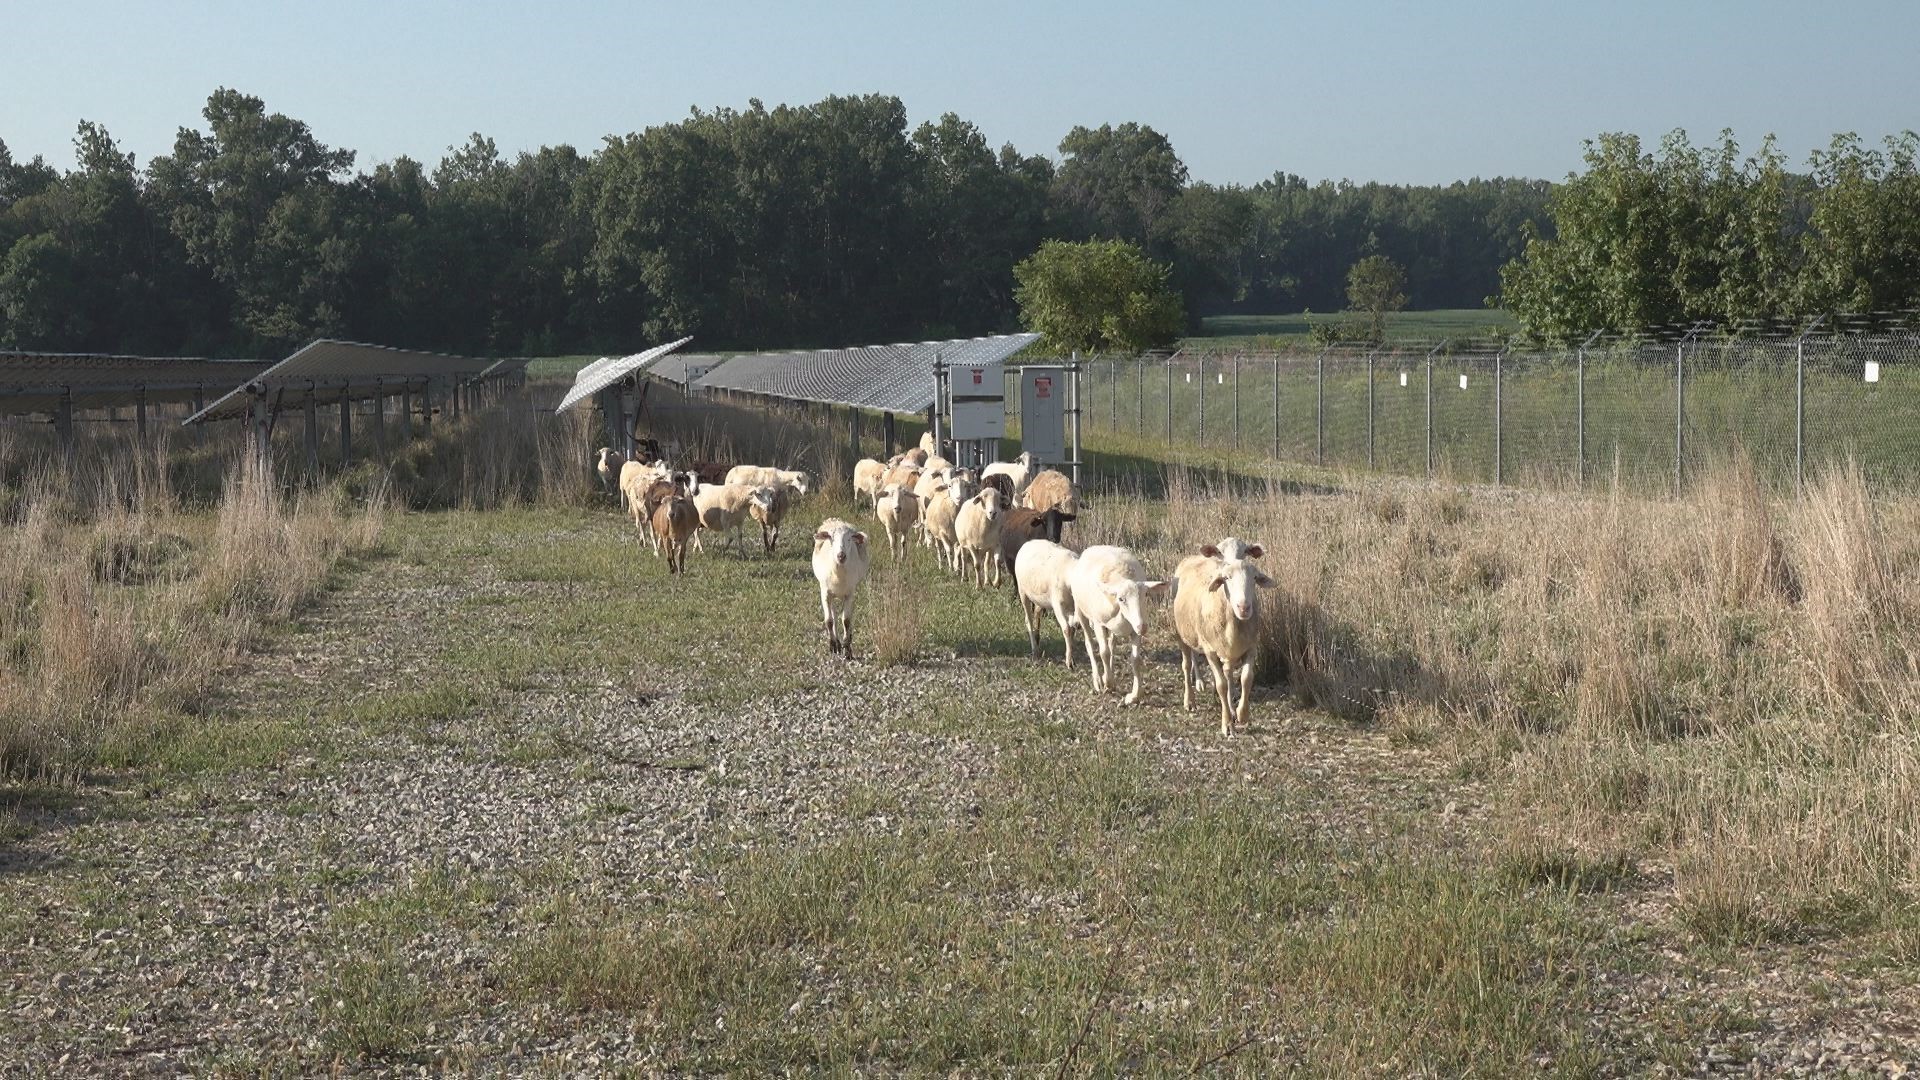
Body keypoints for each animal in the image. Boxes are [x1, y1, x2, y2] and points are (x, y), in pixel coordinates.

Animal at [812, 518, 871, 659]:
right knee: (833, 615)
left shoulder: (849, 593)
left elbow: (847, 620)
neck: (838, 574)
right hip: (831, 594)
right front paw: (833, 646)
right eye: (831, 538)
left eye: (849, 539)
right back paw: (837, 642)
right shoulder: (825, 593)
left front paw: (847, 649)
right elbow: (829, 621)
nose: (841, 555)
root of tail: (837, 520)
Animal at [1014, 539, 1081, 668]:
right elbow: (1067, 629)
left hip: (1039, 598)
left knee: (1037, 614)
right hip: (1022, 591)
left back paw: (1037, 640)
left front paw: (1072, 658)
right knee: (1028, 620)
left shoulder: (1072, 609)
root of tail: (1028, 542)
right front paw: (1069, 661)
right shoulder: (1058, 605)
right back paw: (1035, 650)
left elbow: (1072, 630)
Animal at [1066, 546, 1167, 705]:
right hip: (1081, 611)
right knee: (1090, 644)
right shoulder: (1099, 623)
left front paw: (1134, 695)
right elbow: (1104, 653)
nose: (1143, 627)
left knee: (1112, 644)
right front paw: (1109, 684)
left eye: (1145, 595)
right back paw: (1098, 680)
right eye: (1121, 599)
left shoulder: (1134, 631)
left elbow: (1135, 660)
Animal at [1171, 542, 1276, 736]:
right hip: (1182, 634)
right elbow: (1221, 685)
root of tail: (1192, 557)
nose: (1244, 607)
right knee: (1187, 664)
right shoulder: (1210, 651)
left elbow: (1246, 678)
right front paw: (1227, 724)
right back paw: (1190, 700)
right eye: (1226, 578)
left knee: (1224, 674)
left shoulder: (1251, 647)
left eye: (1255, 578)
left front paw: (1242, 714)